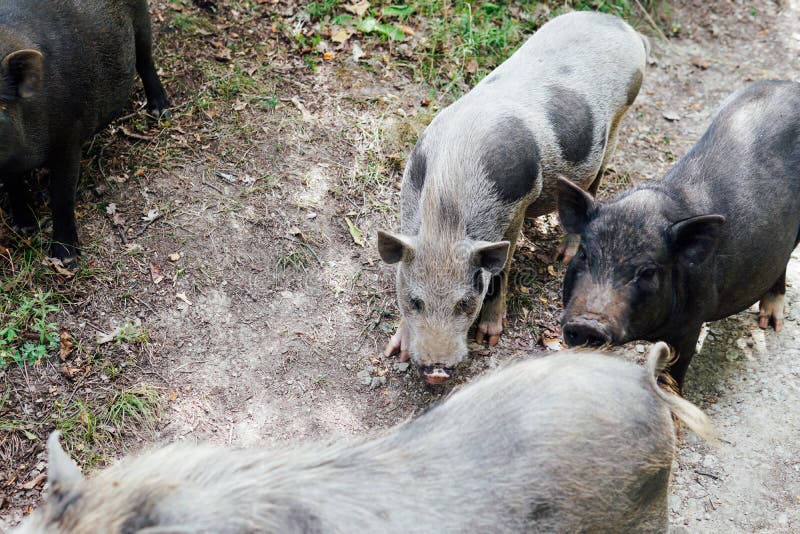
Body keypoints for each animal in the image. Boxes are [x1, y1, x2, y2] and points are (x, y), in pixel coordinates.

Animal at [0, 0, 170, 263]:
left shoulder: (69, 138)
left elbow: (62, 197)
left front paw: (66, 260)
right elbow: (13, 184)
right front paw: (24, 228)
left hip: (141, 19)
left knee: (145, 58)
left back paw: (160, 111)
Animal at [377, 11, 649, 384]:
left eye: (466, 301)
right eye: (415, 301)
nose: (437, 370)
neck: (447, 214)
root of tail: (623, 26)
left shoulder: (520, 203)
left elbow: (502, 268)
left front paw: (489, 337)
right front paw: (396, 349)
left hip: (619, 124)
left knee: (593, 187)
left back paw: (562, 256)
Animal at [558, 80, 800, 388]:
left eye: (648, 272)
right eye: (584, 254)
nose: (586, 323)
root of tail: (791, 86)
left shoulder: (690, 324)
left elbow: (675, 369)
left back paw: (770, 323)